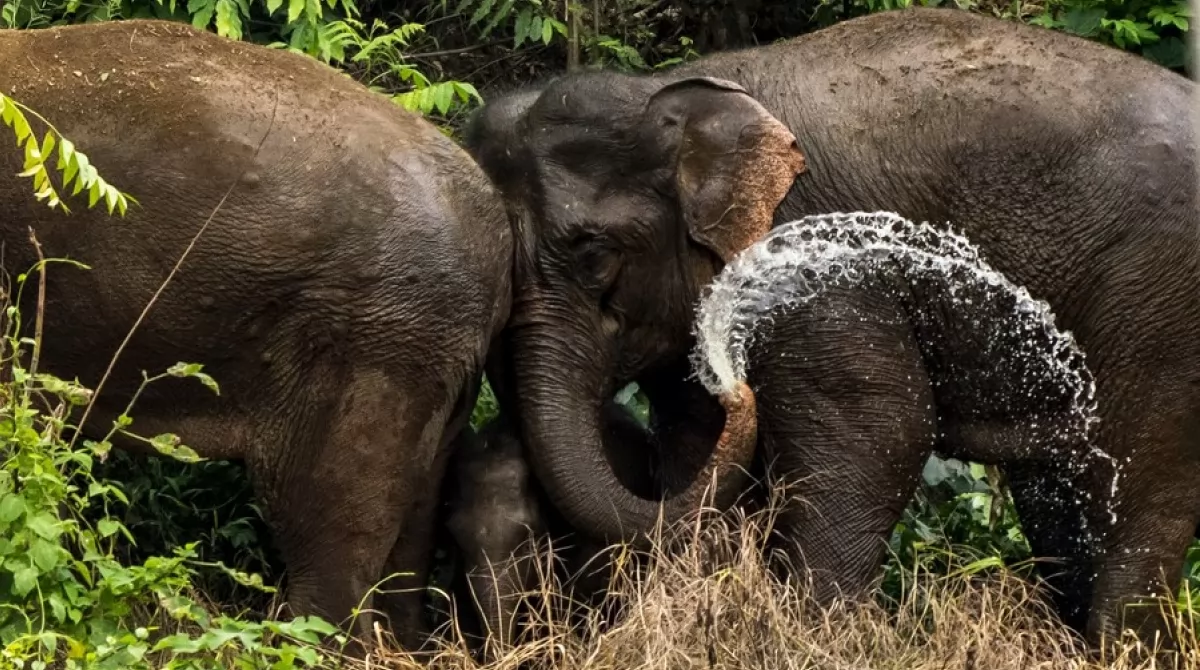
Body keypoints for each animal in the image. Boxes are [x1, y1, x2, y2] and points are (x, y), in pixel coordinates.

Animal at [464, 6, 1199, 651]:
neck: (680, 90)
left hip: (1162, 302)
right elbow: (696, 440)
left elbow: (878, 430)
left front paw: (816, 640)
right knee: (1060, 488)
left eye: (593, 253)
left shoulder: (814, 261)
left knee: (1137, 485)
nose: (737, 384)